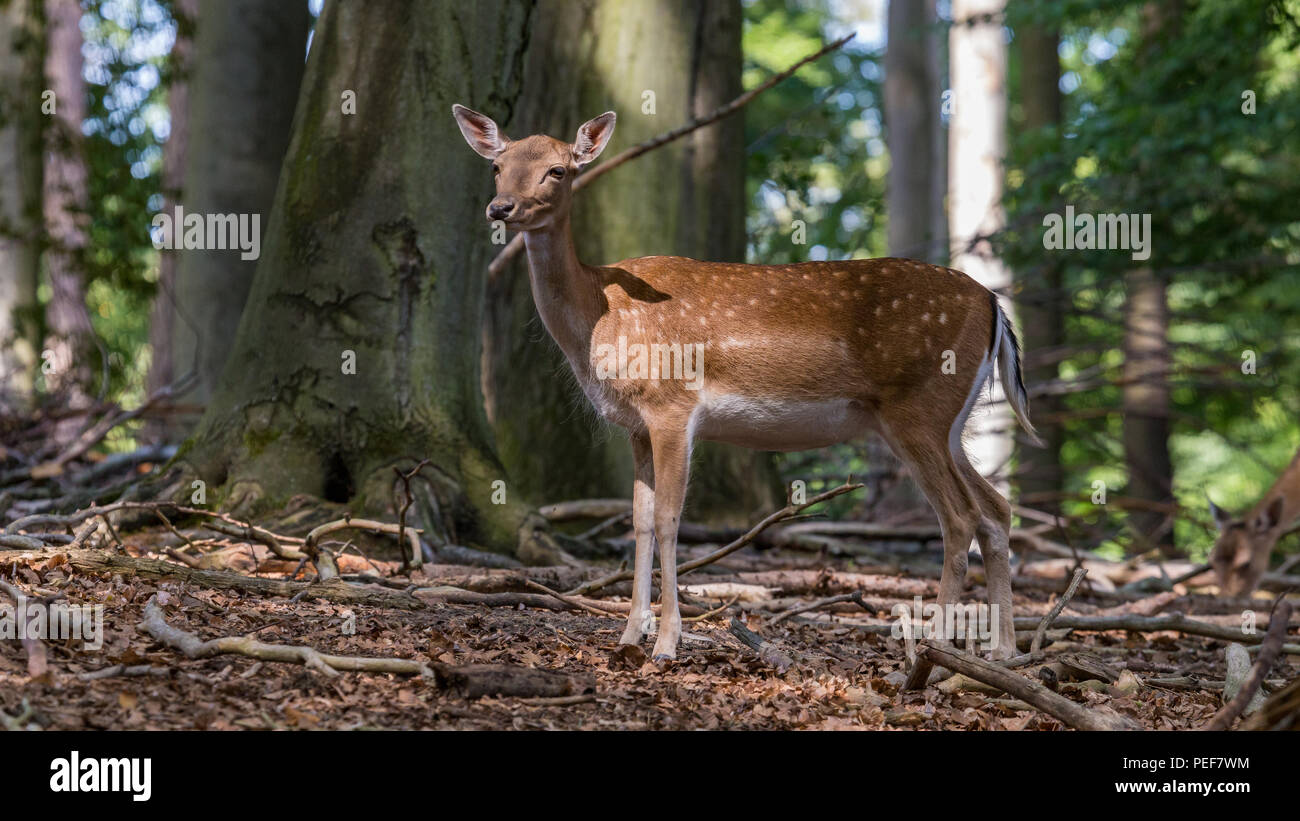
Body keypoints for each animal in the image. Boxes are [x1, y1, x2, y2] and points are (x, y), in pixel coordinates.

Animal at [452, 104, 1041, 671]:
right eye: (497, 166)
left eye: (558, 169)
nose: (500, 208)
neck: (601, 315)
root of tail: (993, 302)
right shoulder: (636, 427)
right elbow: (638, 522)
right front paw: (628, 636)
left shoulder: (672, 405)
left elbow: (669, 519)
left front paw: (666, 644)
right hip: (948, 422)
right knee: (995, 509)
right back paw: (1003, 651)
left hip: (917, 408)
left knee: (959, 517)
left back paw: (936, 651)